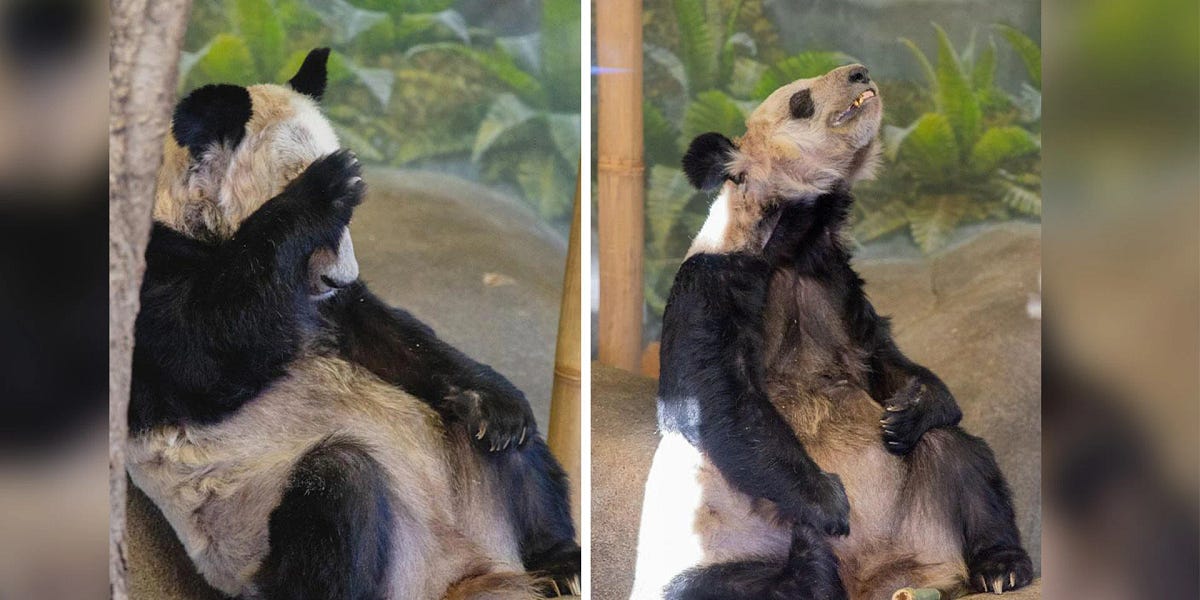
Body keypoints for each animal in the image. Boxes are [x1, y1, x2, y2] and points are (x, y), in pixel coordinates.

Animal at [126, 48, 579, 600]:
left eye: (353, 216)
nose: (338, 277)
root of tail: (457, 577)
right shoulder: (151, 268)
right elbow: (204, 352)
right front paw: (320, 187)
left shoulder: (330, 306)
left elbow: (385, 335)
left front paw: (494, 400)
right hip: (256, 530)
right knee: (337, 495)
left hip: (472, 491)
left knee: (518, 456)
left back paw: (559, 559)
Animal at [630, 64, 1032, 599]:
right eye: (800, 101)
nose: (859, 71)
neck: (791, 241)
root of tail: (872, 578)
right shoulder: (710, 286)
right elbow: (717, 400)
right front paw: (828, 502)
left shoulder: (837, 282)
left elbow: (883, 356)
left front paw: (915, 405)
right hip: (725, 542)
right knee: (737, 585)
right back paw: (812, 558)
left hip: (920, 505)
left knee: (961, 458)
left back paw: (1000, 566)